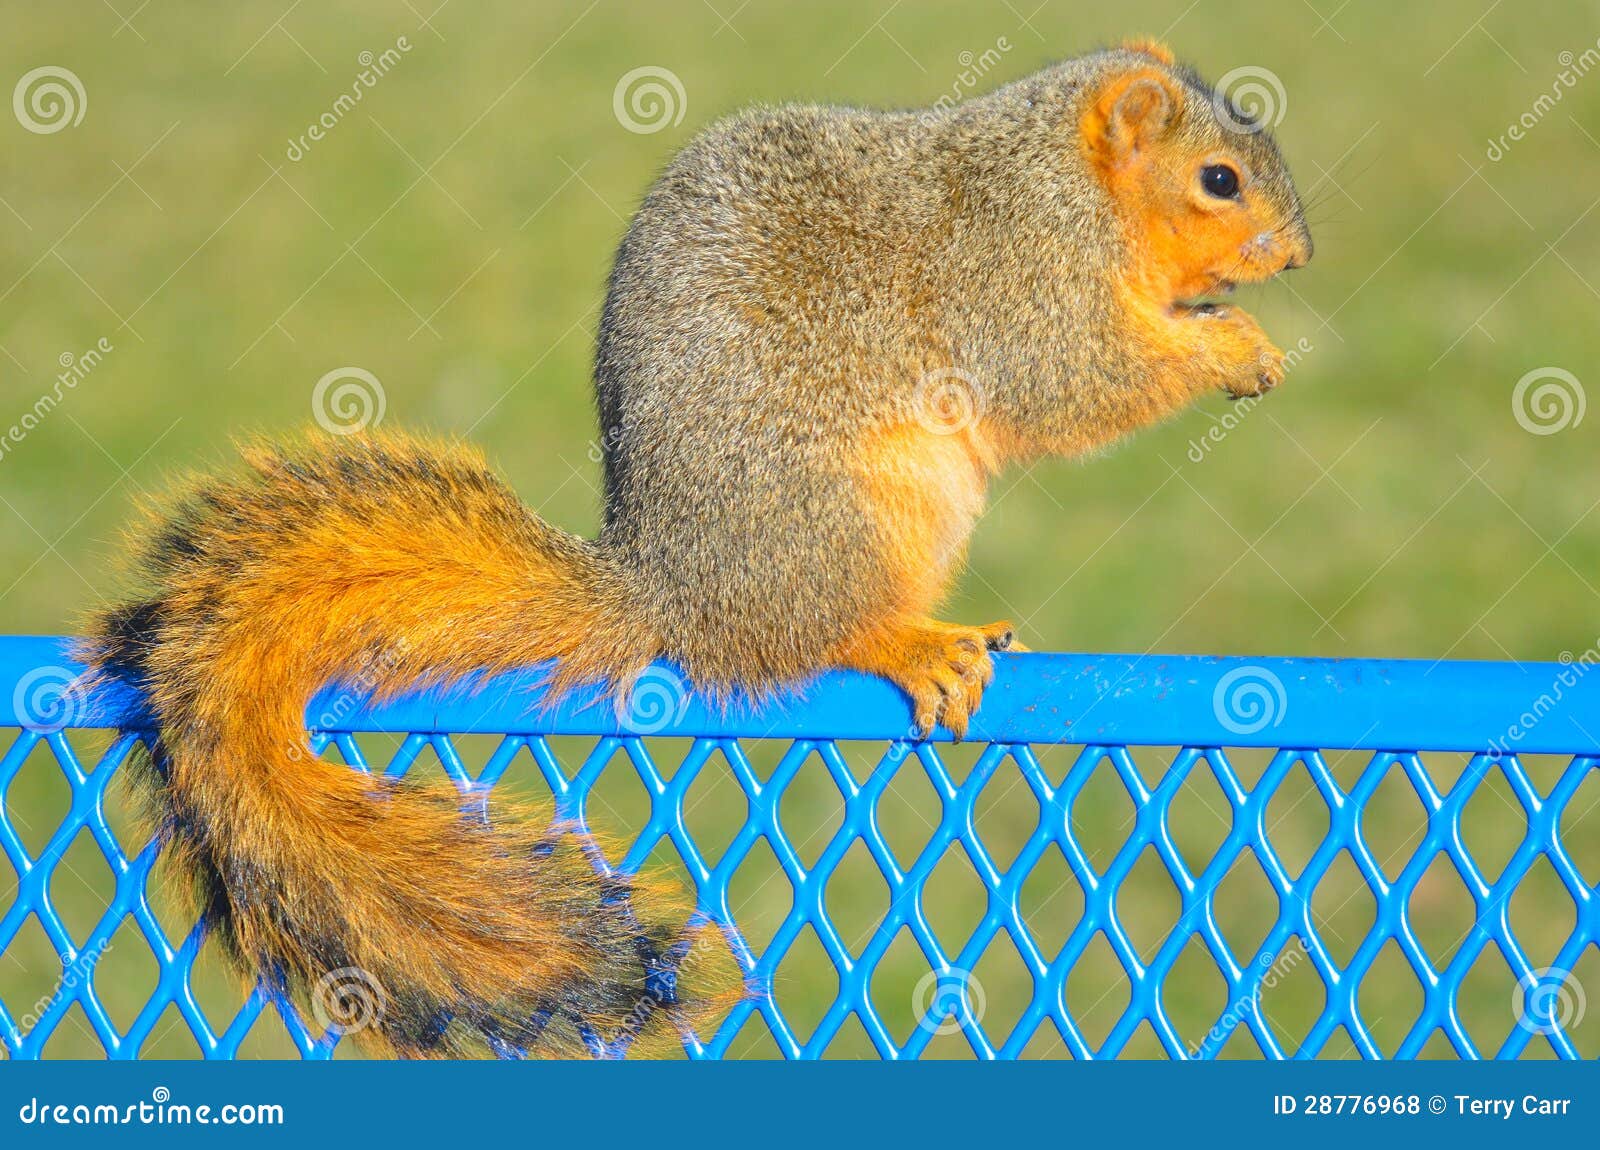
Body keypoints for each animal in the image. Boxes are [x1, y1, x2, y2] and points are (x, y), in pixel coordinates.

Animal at [84, 41, 1311, 1058]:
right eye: (1219, 180)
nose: (1298, 258)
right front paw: (1234, 349)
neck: (1061, 184)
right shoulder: (1018, 285)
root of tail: (672, 593)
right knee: (811, 641)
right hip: (853, 518)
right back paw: (912, 644)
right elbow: (1077, 381)